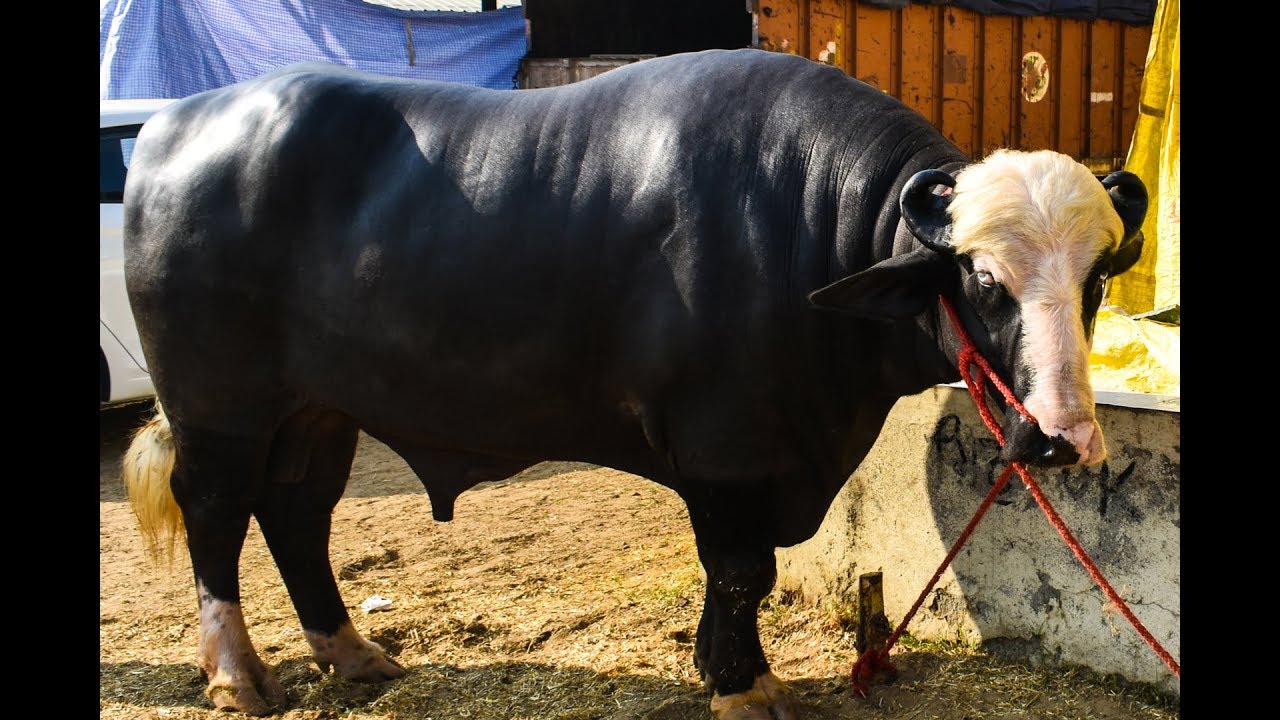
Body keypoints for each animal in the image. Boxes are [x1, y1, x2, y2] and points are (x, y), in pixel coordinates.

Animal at [120, 48, 1146, 719]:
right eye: (984, 280)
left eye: (1097, 277)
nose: (1060, 436)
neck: (803, 230)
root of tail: (175, 124)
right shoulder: (727, 453)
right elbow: (741, 570)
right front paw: (743, 685)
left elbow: (734, 578)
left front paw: (715, 664)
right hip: (220, 411)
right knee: (217, 514)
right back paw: (236, 675)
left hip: (320, 411)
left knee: (297, 515)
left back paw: (350, 652)